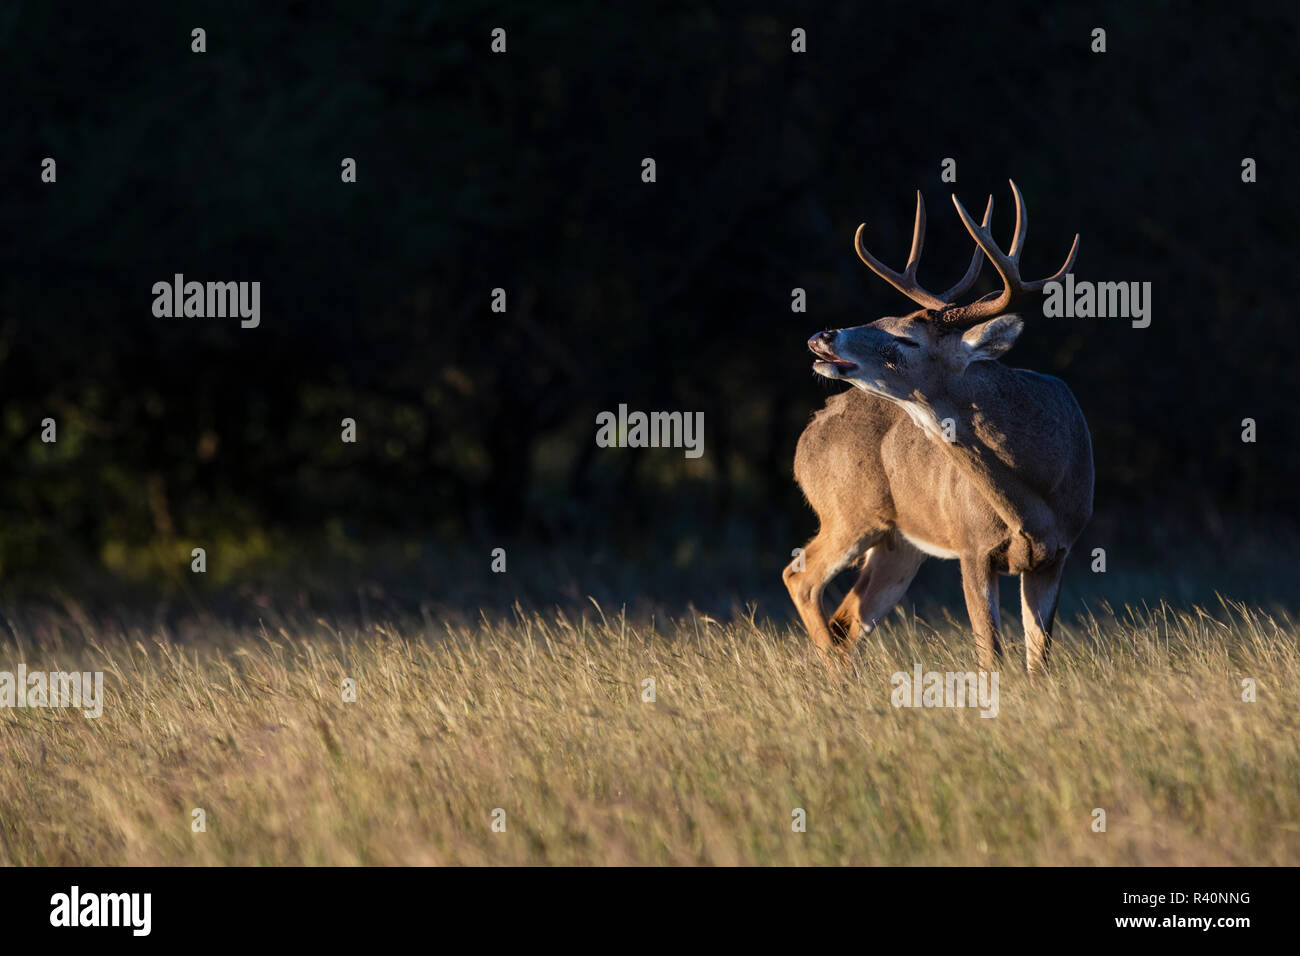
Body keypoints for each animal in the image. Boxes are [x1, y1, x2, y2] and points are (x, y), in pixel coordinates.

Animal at [783, 180, 1093, 675]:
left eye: (904, 338)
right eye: (881, 320)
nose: (823, 336)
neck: (1031, 494)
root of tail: (806, 438)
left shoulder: (1056, 555)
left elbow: (1038, 660)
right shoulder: (972, 546)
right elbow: (991, 653)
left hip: (897, 543)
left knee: (847, 618)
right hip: (847, 510)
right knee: (801, 577)